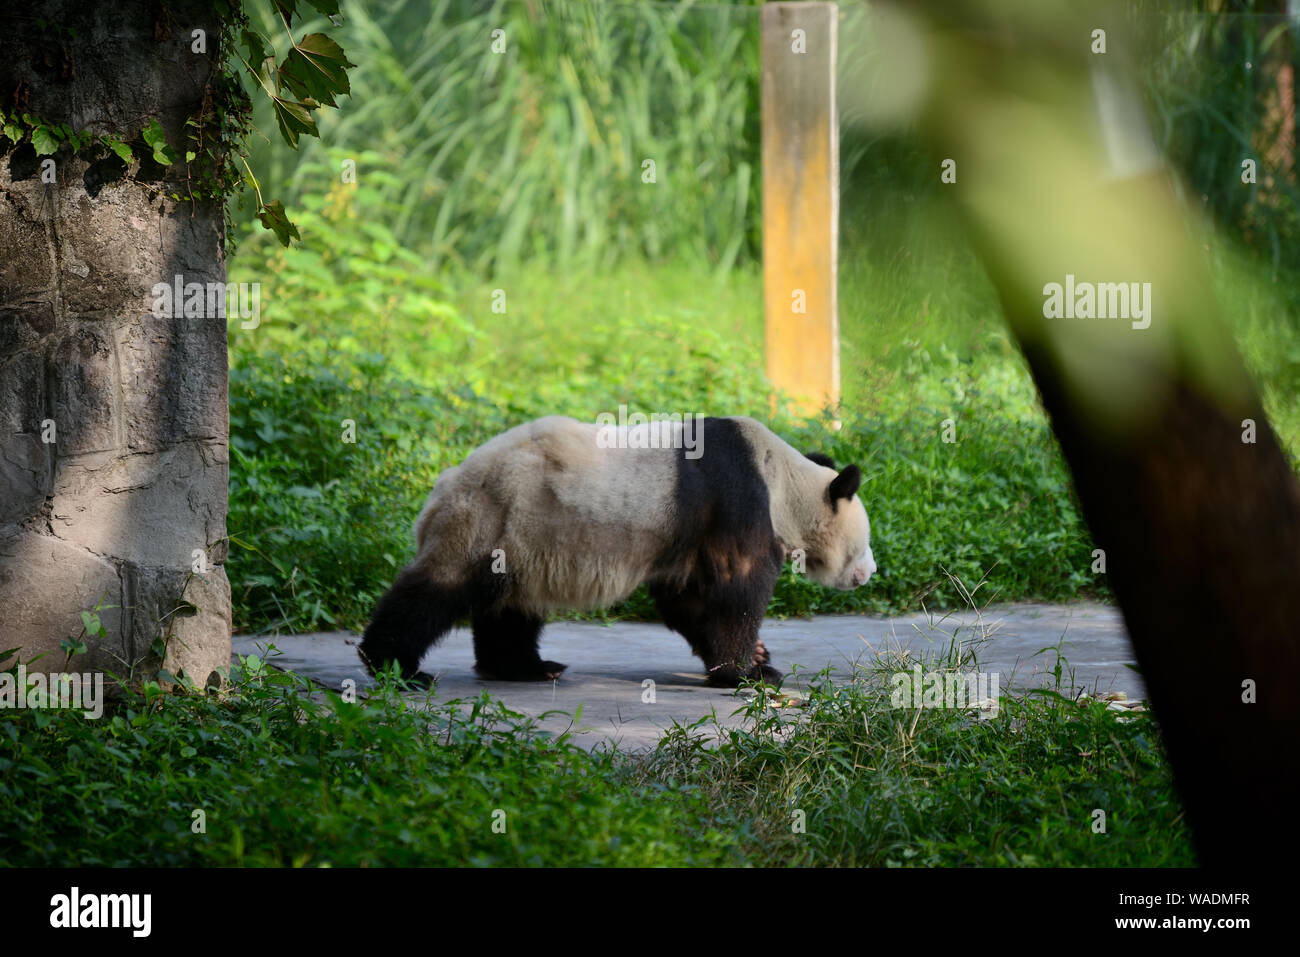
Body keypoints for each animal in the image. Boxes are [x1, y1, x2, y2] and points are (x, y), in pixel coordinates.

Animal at [358, 415, 876, 688]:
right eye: (865, 542)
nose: (869, 573)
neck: (782, 477)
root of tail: (445, 484)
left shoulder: (687, 535)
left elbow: (687, 599)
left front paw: (757, 658)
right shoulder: (736, 498)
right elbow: (736, 585)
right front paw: (749, 672)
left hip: (521, 539)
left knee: (509, 606)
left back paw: (525, 668)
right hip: (492, 515)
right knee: (436, 590)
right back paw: (394, 666)